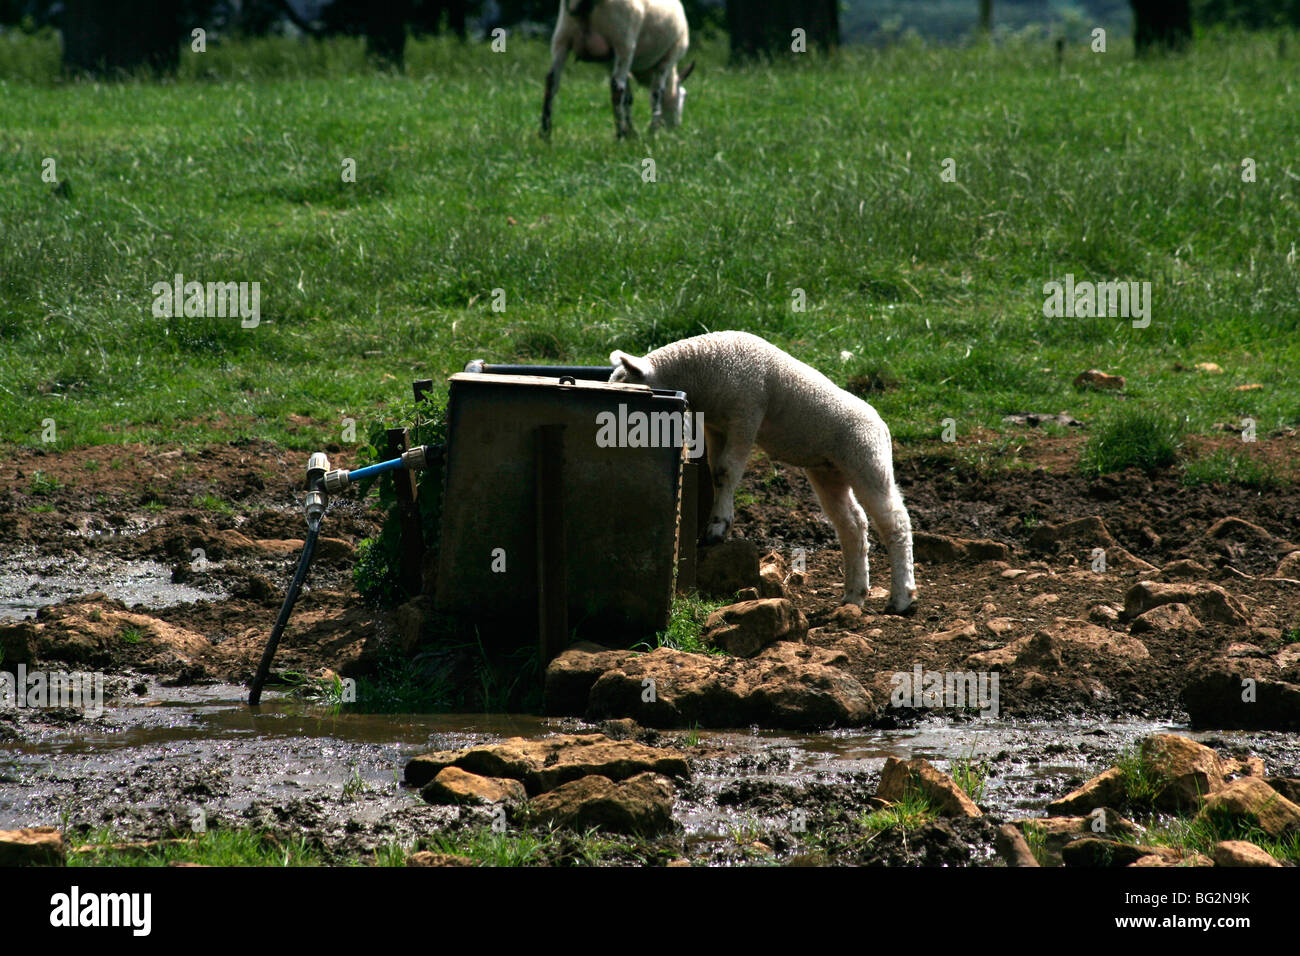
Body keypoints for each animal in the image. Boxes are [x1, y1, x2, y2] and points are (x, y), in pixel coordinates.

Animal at [540, 0, 695, 139]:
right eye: (683, 96)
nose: (676, 127)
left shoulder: (610, 63)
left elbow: (628, 97)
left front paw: (633, 133)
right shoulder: (669, 57)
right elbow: (656, 94)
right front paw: (652, 132)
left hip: (562, 35)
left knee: (551, 80)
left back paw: (545, 134)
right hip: (624, 41)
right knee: (617, 87)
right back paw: (620, 135)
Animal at [610, 331, 918, 614]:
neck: (702, 373)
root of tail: (883, 425)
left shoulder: (746, 415)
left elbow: (726, 470)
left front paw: (718, 527)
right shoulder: (716, 427)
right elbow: (716, 472)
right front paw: (717, 522)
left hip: (867, 459)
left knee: (896, 521)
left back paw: (903, 597)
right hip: (828, 471)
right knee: (853, 524)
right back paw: (854, 595)